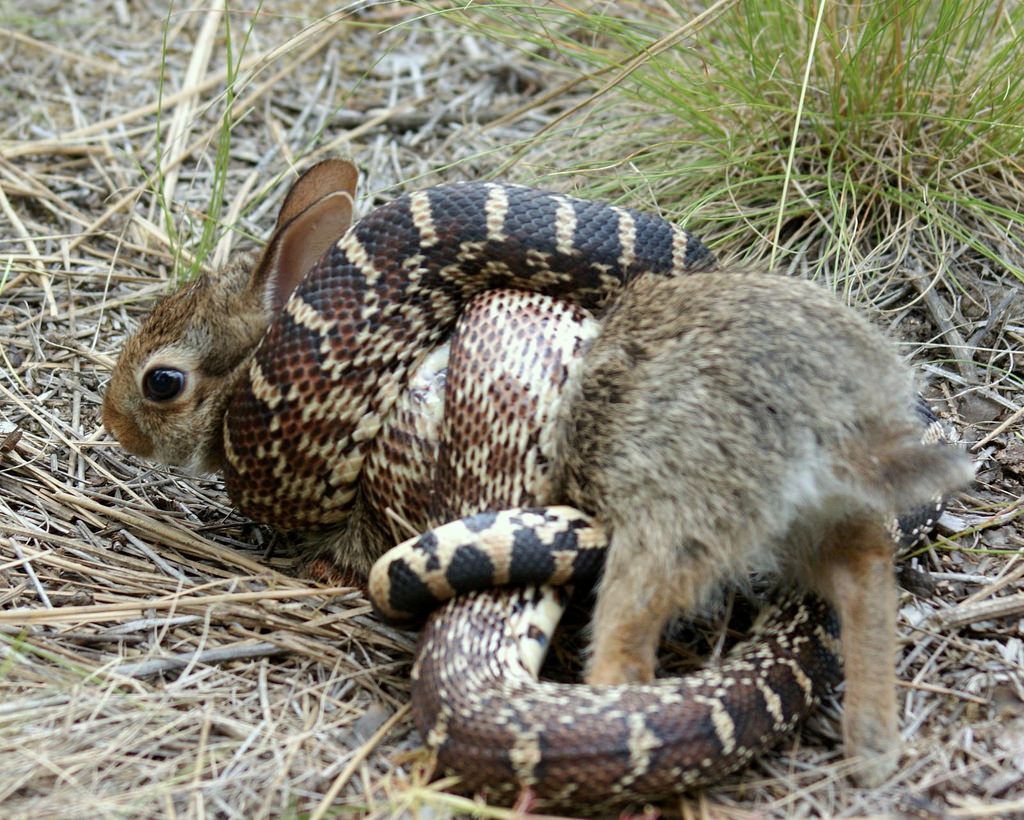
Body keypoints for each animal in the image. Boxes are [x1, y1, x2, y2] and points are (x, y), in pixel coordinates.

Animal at [549, 269, 973, 786]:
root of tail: (831, 424)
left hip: (680, 511)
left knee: (627, 635)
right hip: (824, 518)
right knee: (867, 578)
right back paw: (873, 750)